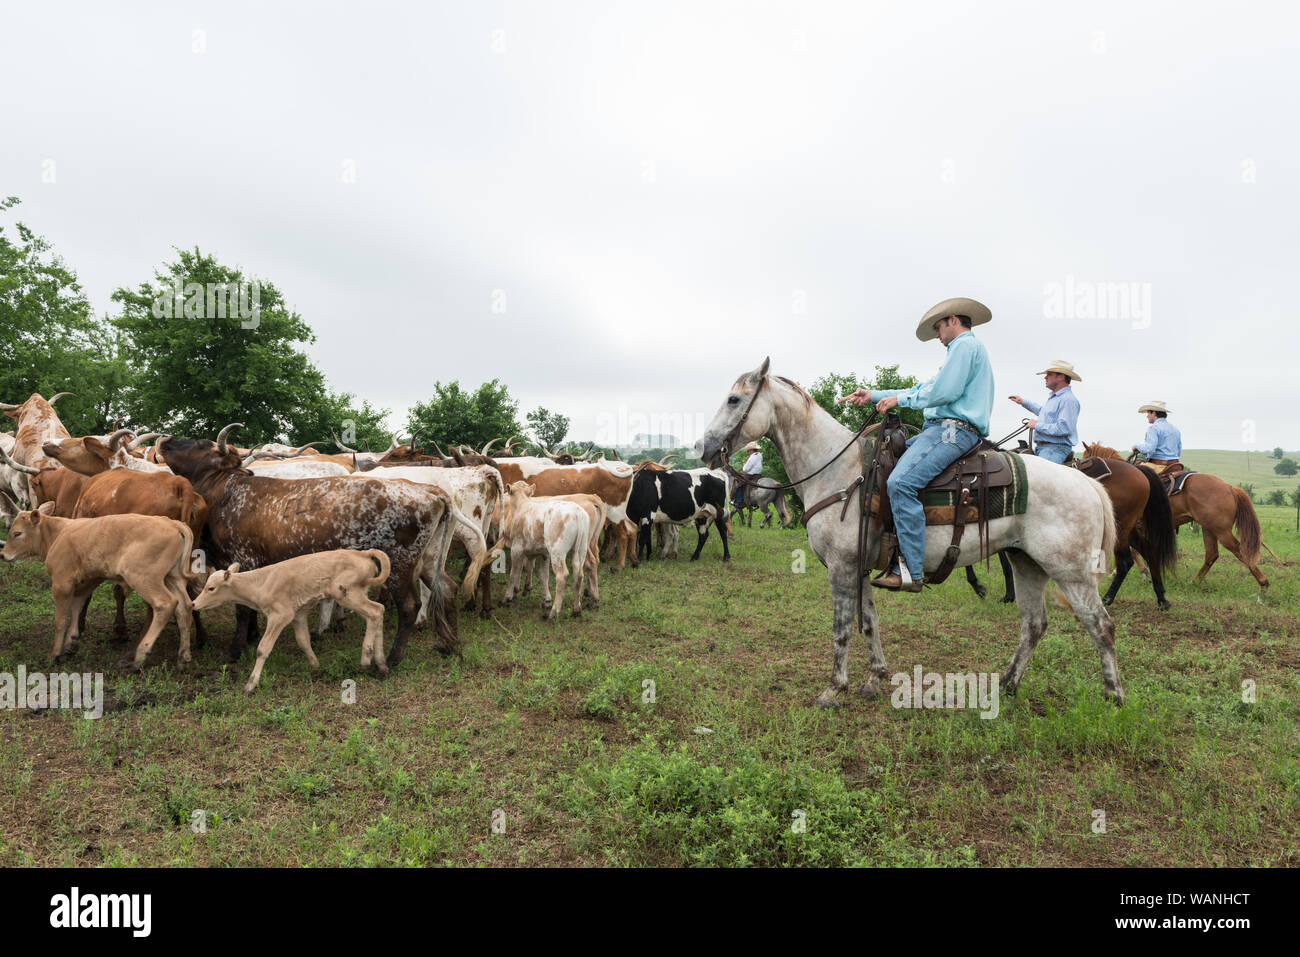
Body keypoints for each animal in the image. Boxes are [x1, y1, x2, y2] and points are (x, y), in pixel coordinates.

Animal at [0, 505, 196, 669]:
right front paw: (71, 642)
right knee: (185, 606)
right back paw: (183, 657)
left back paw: (140, 655)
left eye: (17, 533)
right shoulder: (88, 580)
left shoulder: (61, 583)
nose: (3, 555)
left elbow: (61, 620)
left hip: (143, 578)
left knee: (165, 604)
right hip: (172, 577)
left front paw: (54, 655)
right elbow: (77, 606)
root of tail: (171, 523)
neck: (58, 534)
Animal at [159, 426, 480, 666]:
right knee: (447, 589)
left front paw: (234, 651)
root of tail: (433, 491)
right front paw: (249, 638)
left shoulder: (240, 558)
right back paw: (450, 645)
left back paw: (392, 658)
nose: (166, 439)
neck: (226, 492)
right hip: (429, 557)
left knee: (410, 606)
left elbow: (241, 609)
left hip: (400, 564)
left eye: (201, 443)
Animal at [192, 550, 391, 692]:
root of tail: (363, 552)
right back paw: (381, 663)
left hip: (347, 593)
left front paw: (250, 684)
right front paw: (316, 667)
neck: (260, 583)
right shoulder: (298, 615)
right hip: (358, 594)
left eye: (211, 588)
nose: (193, 604)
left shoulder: (280, 615)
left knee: (375, 612)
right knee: (378, 612)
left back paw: (366, 658)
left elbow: (263, 649)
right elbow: (303, 642)